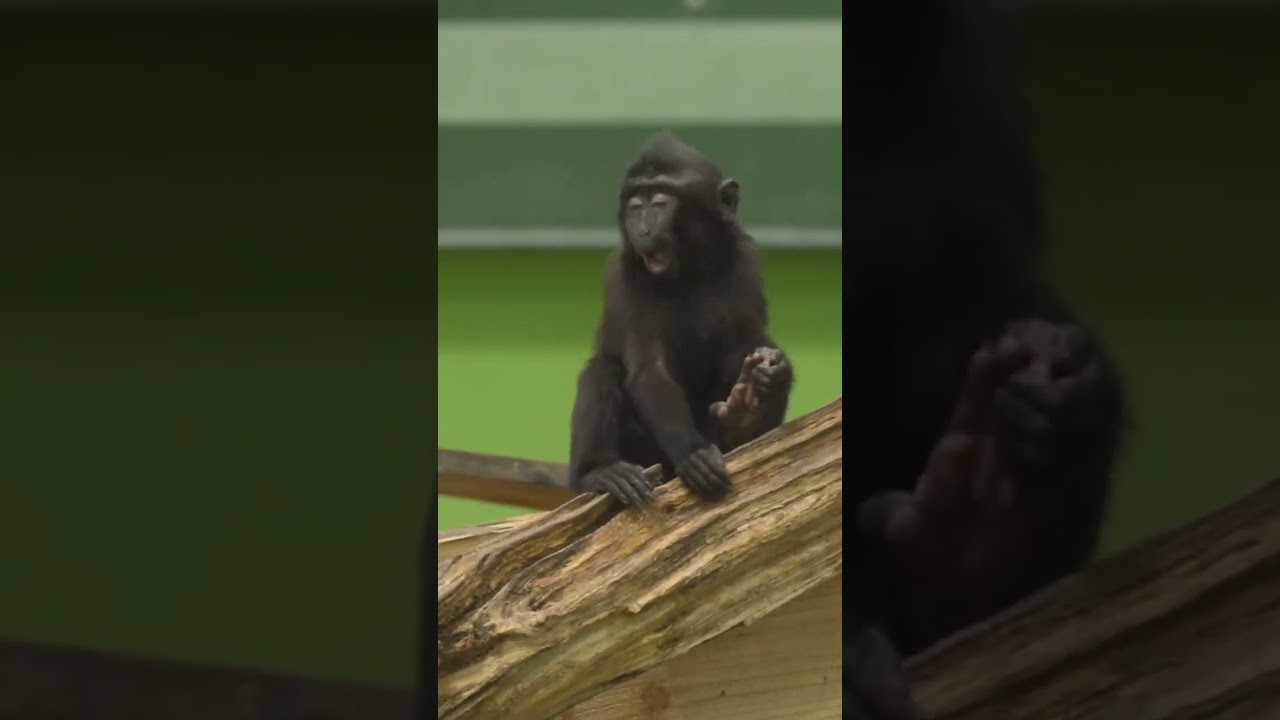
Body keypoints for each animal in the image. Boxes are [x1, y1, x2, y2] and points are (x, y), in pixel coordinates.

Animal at [566, 132, 795, 506]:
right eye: (635, 199)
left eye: (661, 200)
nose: (641, 221)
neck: (688, 271)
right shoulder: (623, 275)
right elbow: (650, 368)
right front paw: (692, 452)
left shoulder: (745, 261)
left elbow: (746, 346)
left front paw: (769, 376)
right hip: (650, 457)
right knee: (602, 369)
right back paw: (598, 471)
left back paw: (741, 421)